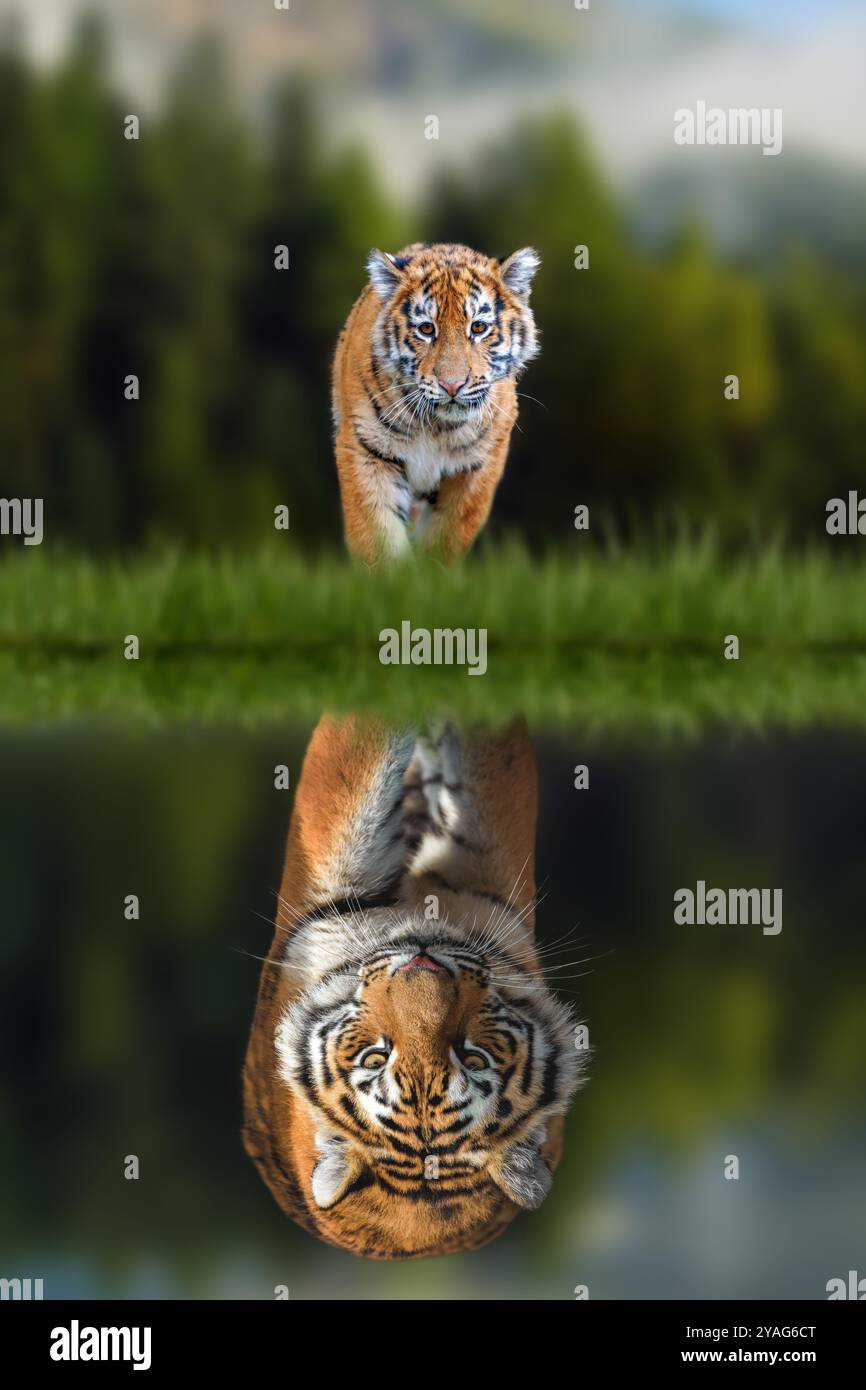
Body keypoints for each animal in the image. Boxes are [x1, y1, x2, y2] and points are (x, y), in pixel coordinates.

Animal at [331, 241, 540, 564]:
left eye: (478, 328)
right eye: (426, 329)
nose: (452, 385)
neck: (435, 426)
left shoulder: (477, 466)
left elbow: (446, 537)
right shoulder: (365, 449)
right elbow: (378, 535)